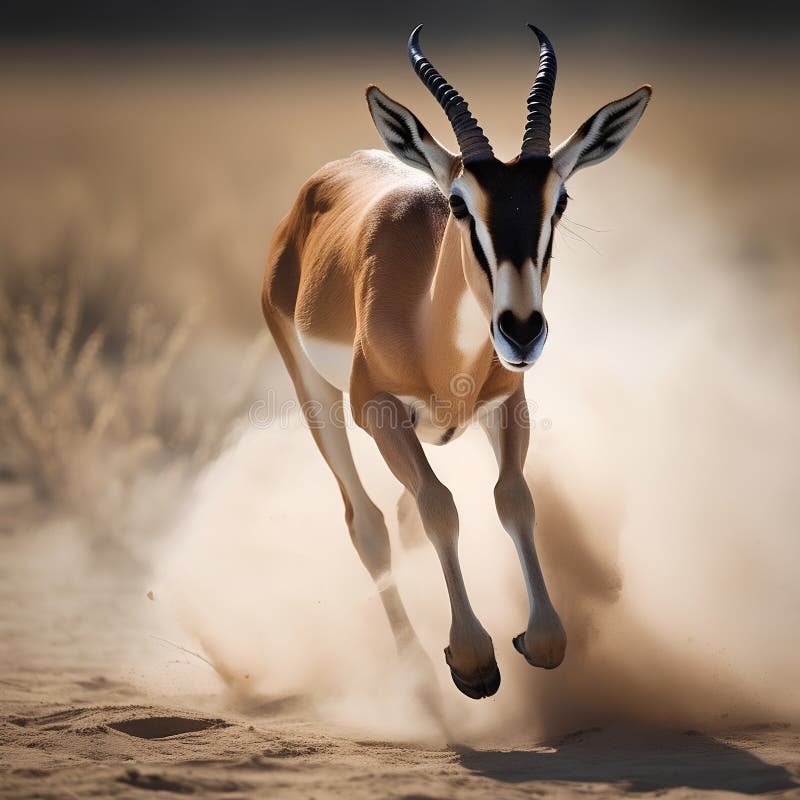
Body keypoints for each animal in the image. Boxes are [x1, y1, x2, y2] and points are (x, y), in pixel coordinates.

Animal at [262, 24, 651, 699]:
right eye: (461, 204)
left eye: (559, 201)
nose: (521, 332)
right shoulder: (378, 412)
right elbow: (440, 506)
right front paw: (470, 658)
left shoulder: (508, 406)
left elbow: (514, 498)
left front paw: (536, 637)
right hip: (318, 397)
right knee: (367, 521)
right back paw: (415, 673)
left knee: (401, 513)